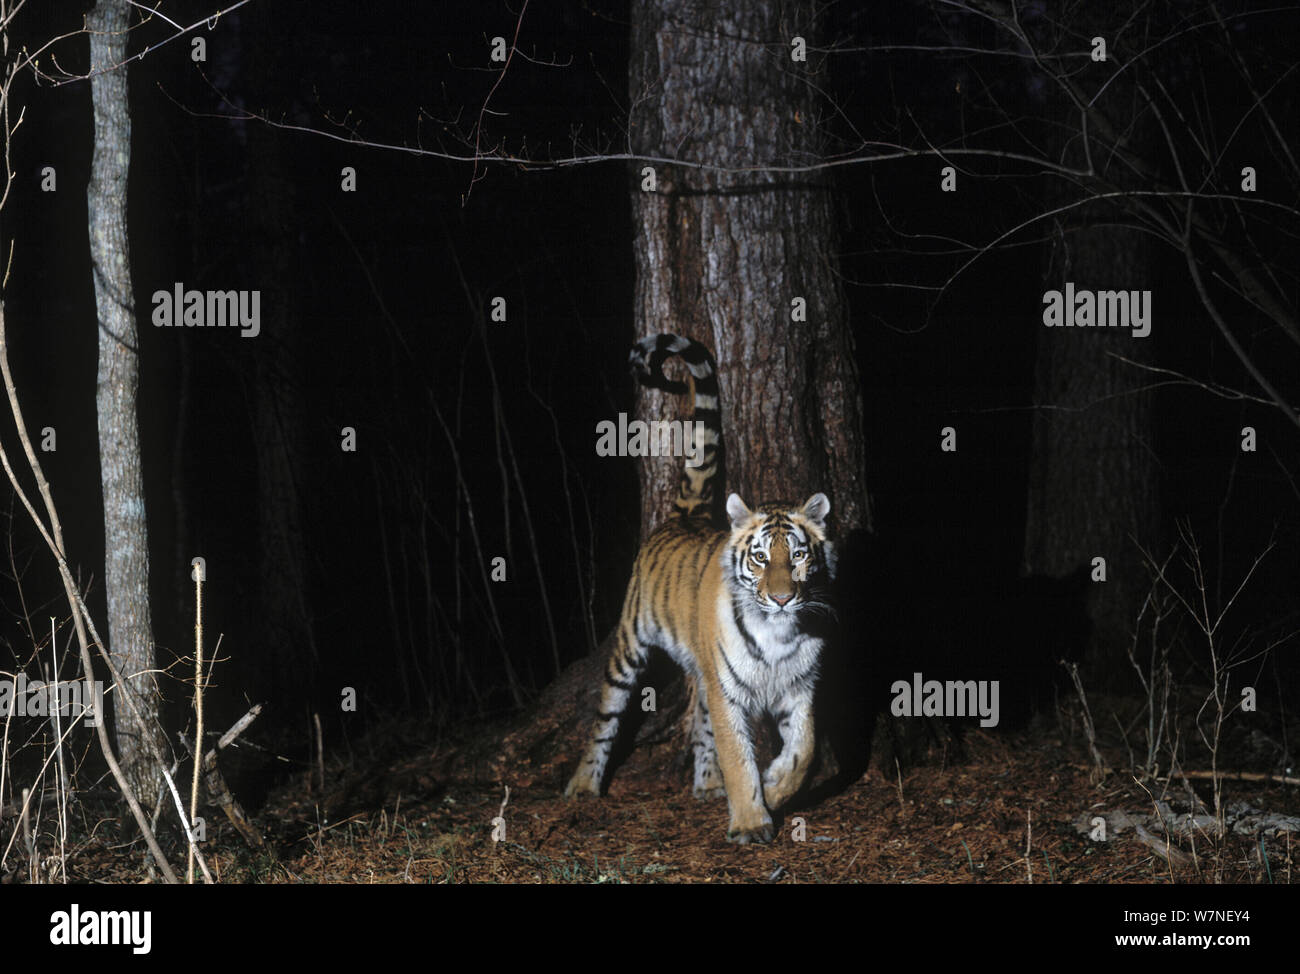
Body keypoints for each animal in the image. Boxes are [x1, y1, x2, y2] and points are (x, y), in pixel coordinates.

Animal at [565, 333, 836, 844]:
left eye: (798, 555)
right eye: (760, 557)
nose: (782, 597)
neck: (780, 630)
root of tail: (683, 516)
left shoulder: (800, 687)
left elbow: (805, 750)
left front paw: (775, 786)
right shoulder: (730, 692)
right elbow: (738, 757)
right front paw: (750, 820)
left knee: (700, 728)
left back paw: (707, 785)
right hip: (630, 647)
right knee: (606, 719)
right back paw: (583, 784)